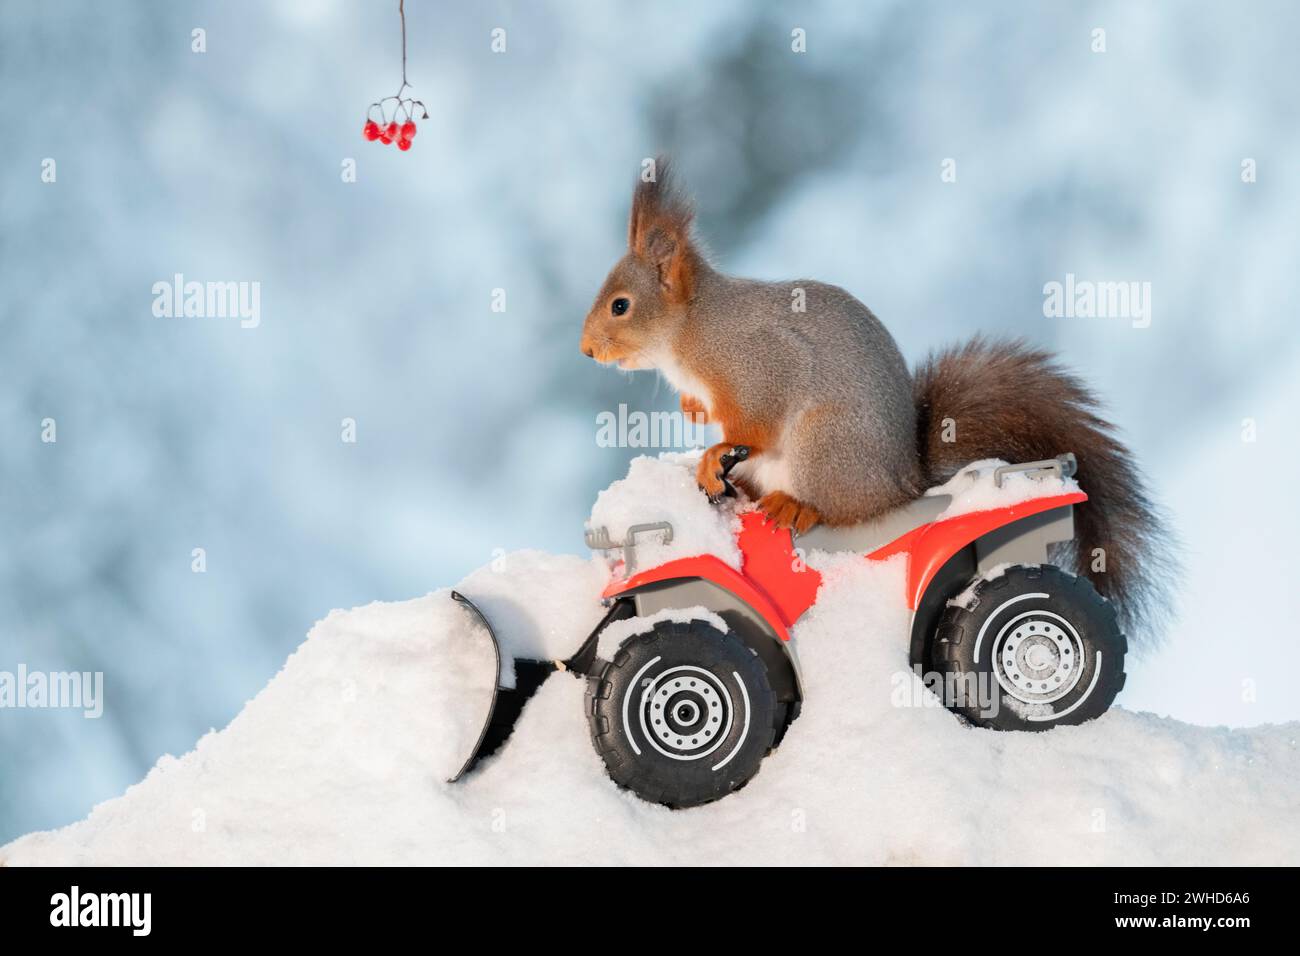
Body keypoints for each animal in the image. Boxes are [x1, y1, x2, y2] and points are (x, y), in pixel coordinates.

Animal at [580, 157, 1175, 640]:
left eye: (620, 306)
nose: (586, 350)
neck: (690, 331)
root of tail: (904, 484)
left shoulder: (760, 365)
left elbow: (755, 425)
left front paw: (713, 452)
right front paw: (694, 416)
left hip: (825, 443)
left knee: (839, 507)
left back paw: (793, 506)